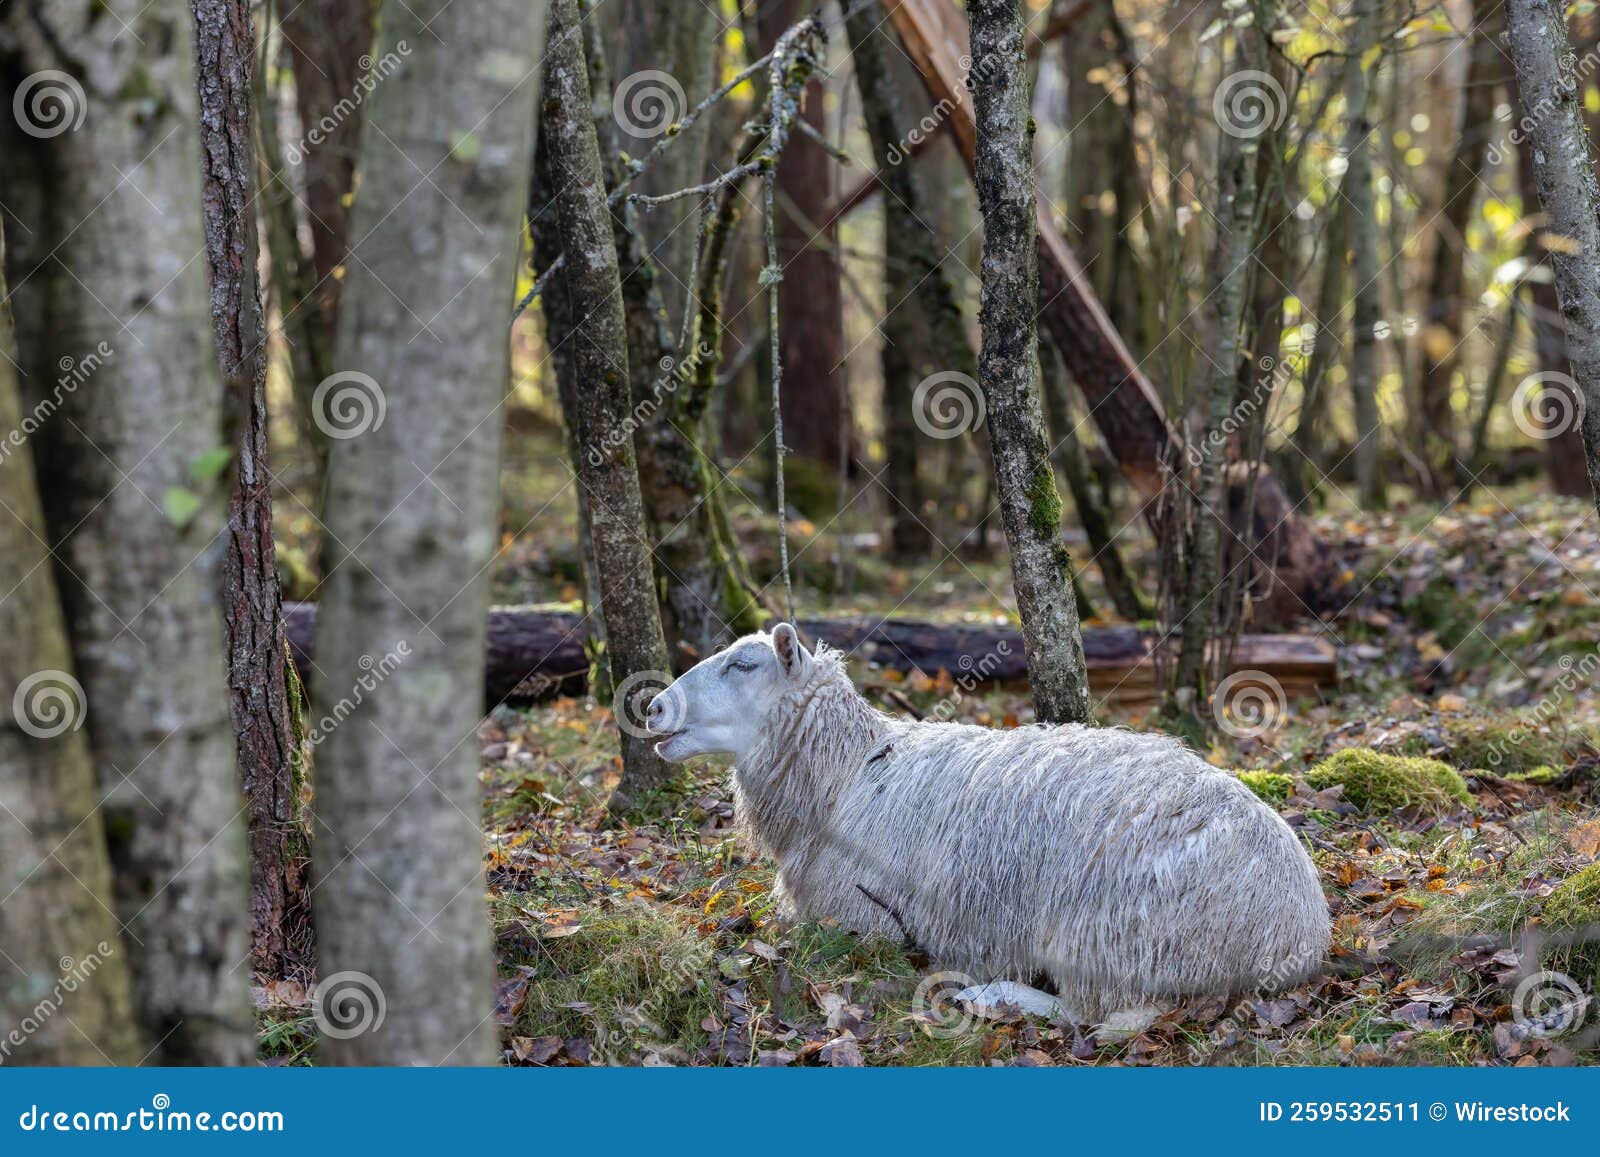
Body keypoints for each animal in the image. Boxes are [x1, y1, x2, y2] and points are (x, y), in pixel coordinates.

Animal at [647, 624, 1332, 1034]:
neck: (844, 773)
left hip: (1108, 936)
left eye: (744, 664)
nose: (652, 707)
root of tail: (1297, 933)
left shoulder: (860, 919)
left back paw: (993, 996)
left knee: (1095, 1015)